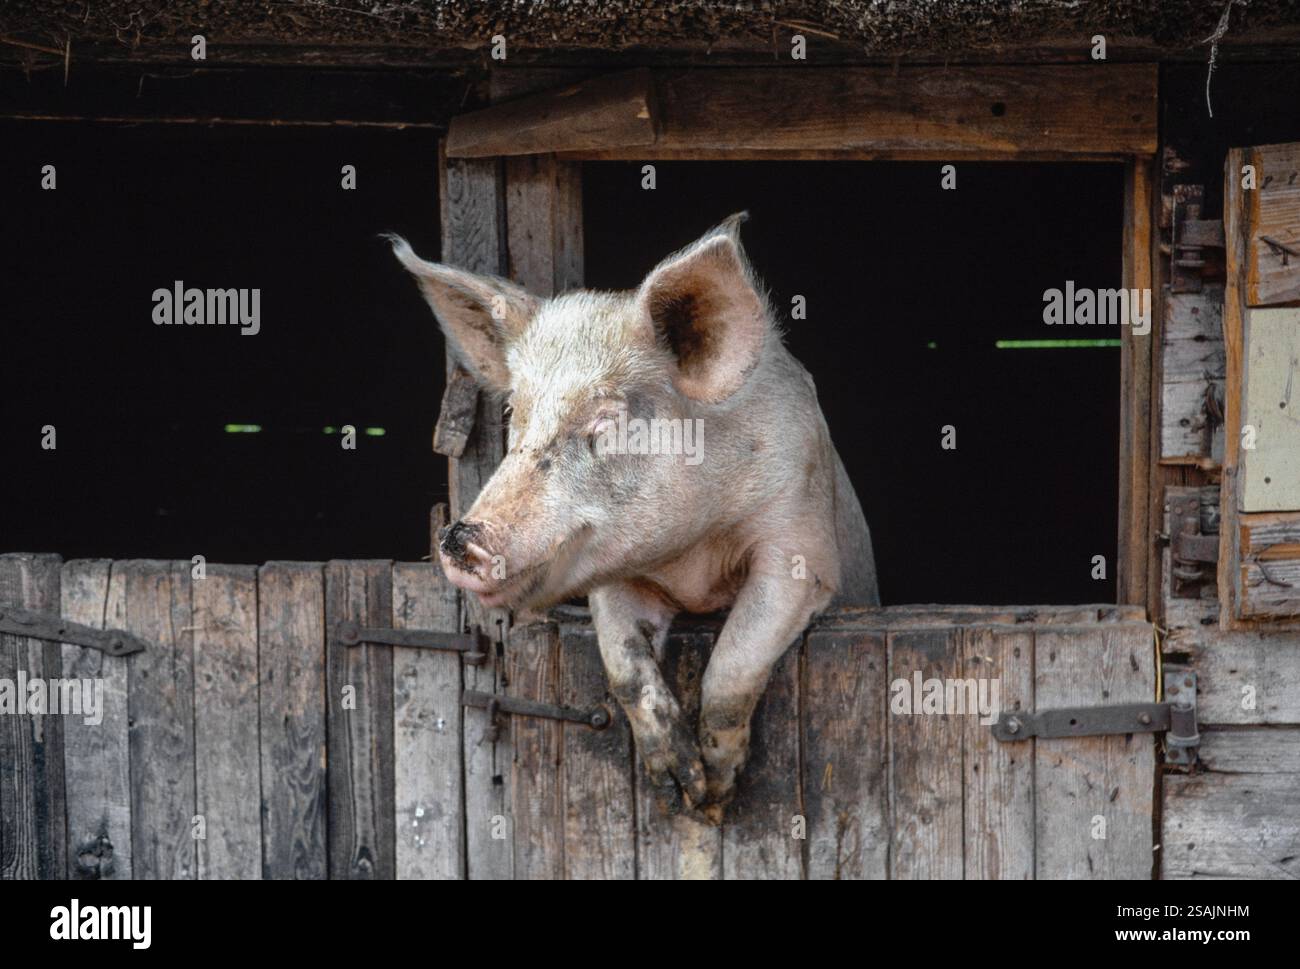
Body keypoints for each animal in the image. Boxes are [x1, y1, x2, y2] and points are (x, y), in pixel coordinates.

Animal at [391, 213, 878, 821]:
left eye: (606, 418)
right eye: (511, 411)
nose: (459, 537)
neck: (692, 567)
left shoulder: (801, 540)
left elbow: (736, 657)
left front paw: (714, 797)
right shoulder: (610, 569)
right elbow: (624, 661)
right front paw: (677, 786)